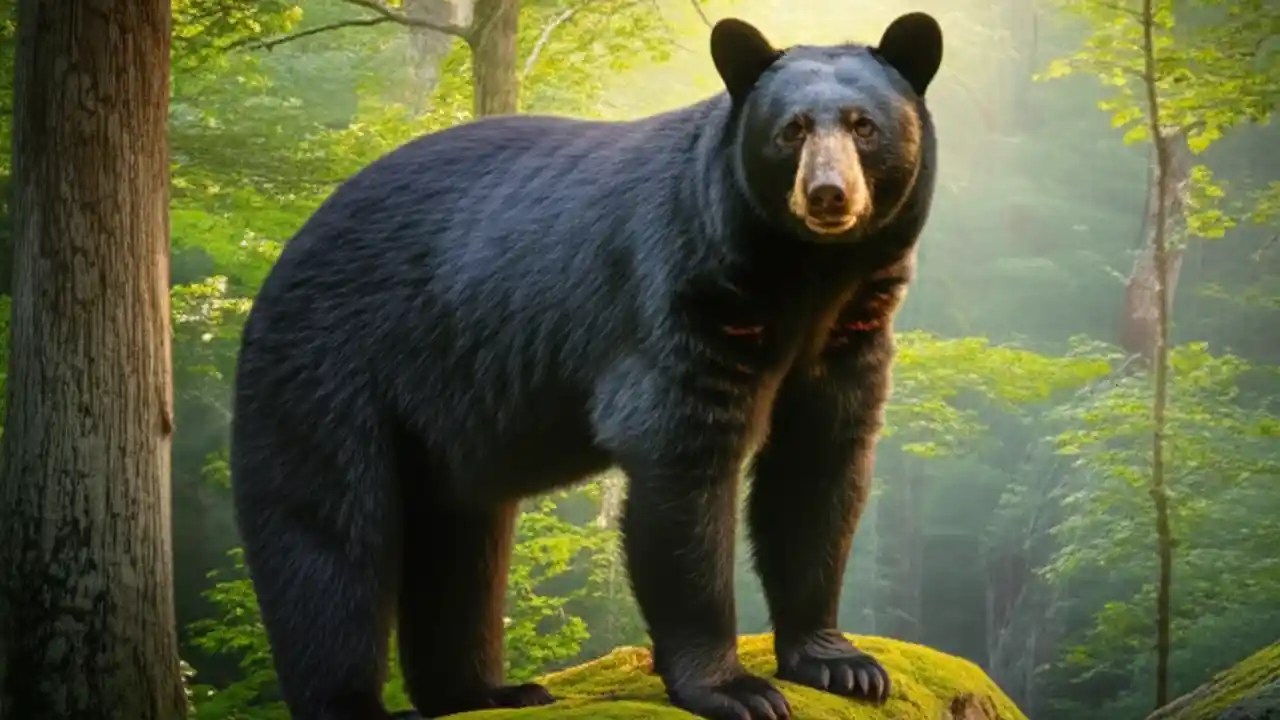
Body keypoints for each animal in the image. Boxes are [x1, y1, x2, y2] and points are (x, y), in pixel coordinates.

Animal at [229, 11, 942, 720]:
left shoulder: (848, 331)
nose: (827, 195)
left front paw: (842, 664)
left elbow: (817, 468)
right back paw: (360, 700)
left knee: (461, 540)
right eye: (790, 130)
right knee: (328, 534)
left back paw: (487, 691)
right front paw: (735, 689)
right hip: (330, 368)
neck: (803, 279)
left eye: (864, 125)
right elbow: (681, 467)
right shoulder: (682, 295)